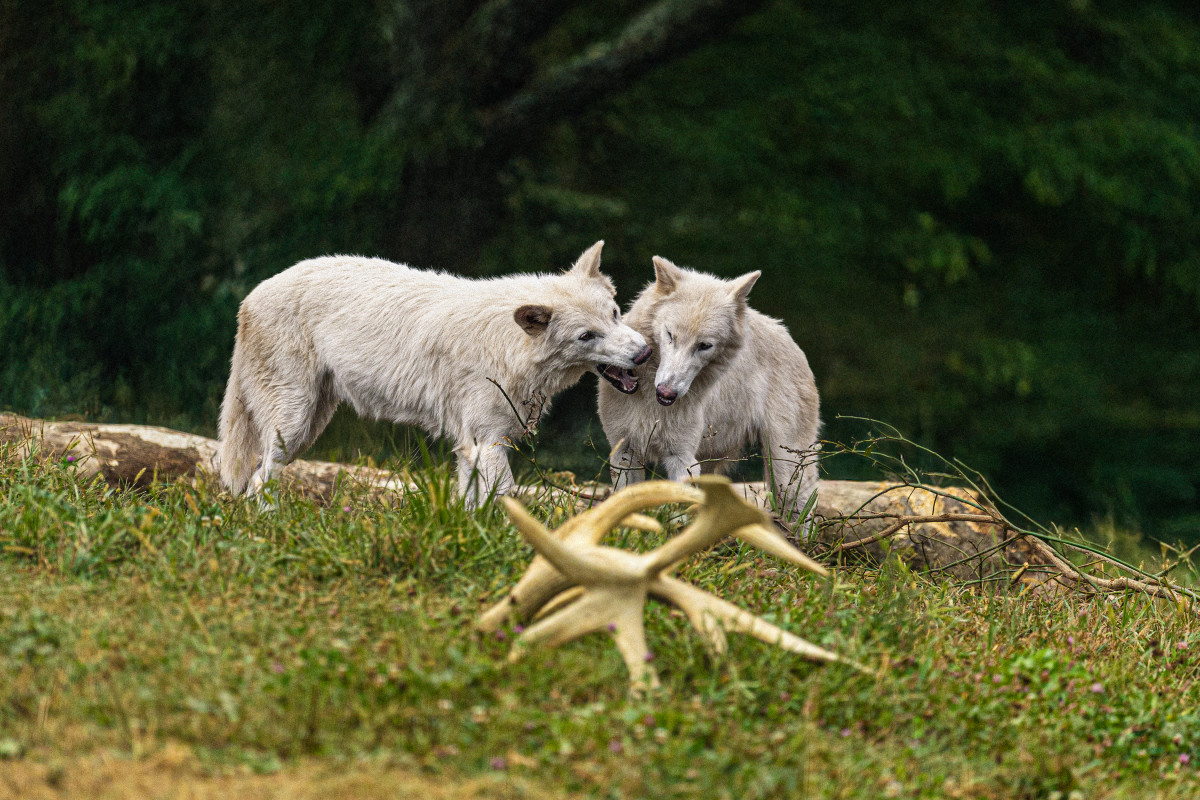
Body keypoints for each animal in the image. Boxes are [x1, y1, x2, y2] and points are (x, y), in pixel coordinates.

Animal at [218, 241, 651, 507]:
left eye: (615, 314)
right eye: (586, 336)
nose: (644, 352)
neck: (509, 347)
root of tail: (251, 296)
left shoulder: (472, 448)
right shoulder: (486, 444)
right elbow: (507, 501)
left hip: (308, 428)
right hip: (292, 426)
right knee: (259, 481)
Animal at [597, 256, 821, 534]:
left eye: (704, 345)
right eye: (670, 335)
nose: (667, 391)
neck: (651, 400)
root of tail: (789, 337)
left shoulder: (681, 457)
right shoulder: (624, 451)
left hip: (785, 464)